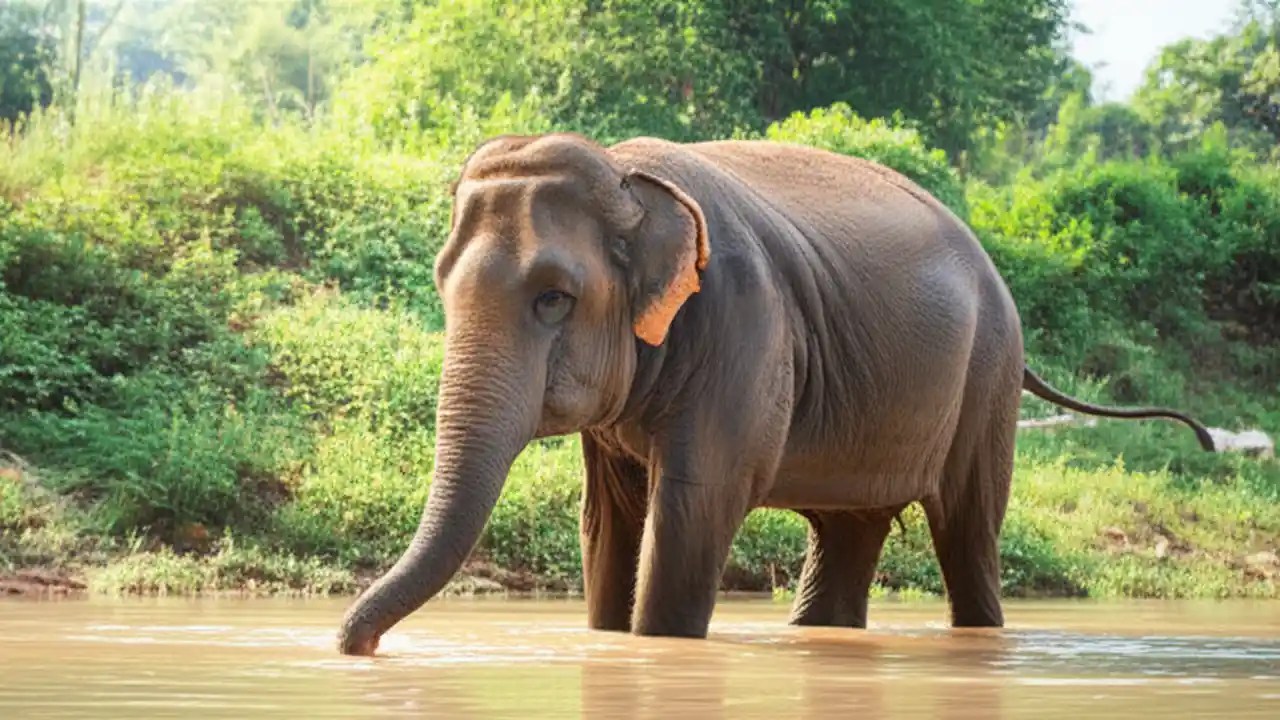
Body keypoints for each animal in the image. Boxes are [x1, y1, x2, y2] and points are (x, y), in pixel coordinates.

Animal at [336, 132, 1214, 656]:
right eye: (442, 285)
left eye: (554, 298)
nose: (357, 647)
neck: (628, 179)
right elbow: (607, 519)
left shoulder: (744, 328)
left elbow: (695, 505)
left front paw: (658, 644)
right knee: (851, 532)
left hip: (989, 373)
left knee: (967, 528)